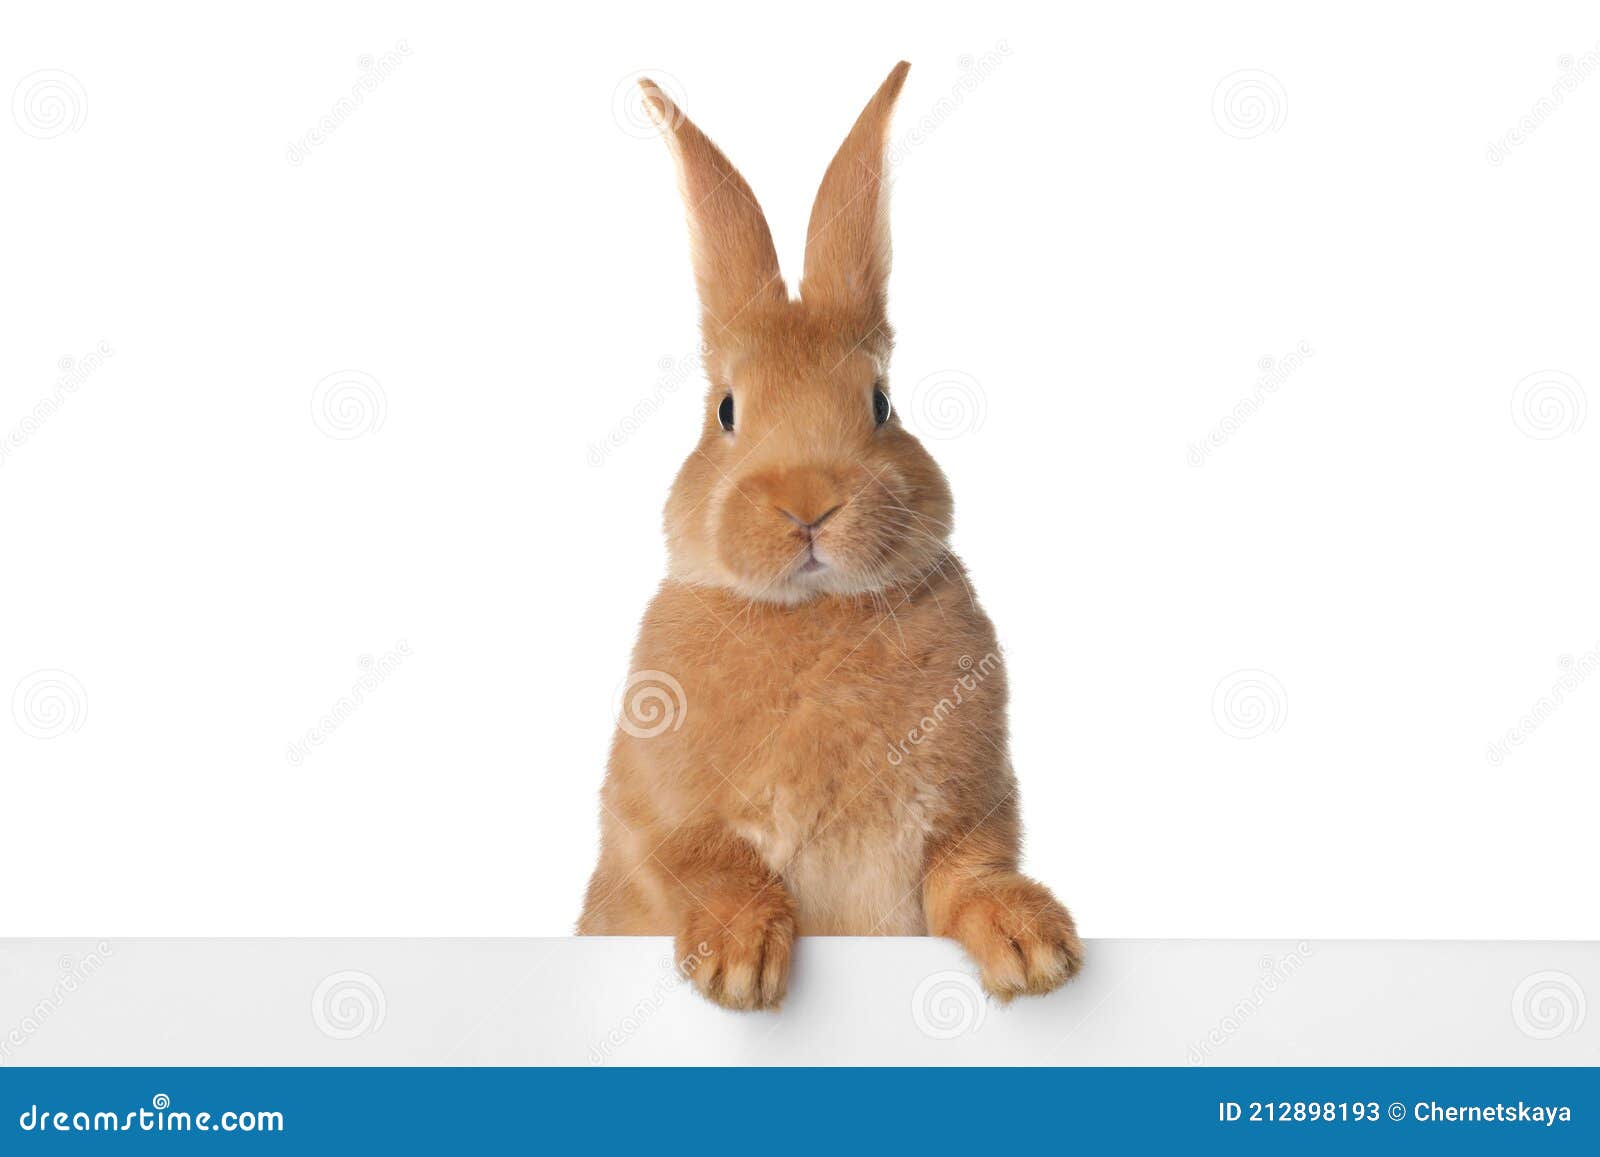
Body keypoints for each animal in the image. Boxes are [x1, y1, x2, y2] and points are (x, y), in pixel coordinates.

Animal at [578, 61, 1083, 1010]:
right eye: (726, 411)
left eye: (881, 402)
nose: (808, 502)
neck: (815, 612)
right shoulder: (658, 822)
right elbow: (710, 867)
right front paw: (739, 965)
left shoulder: (969, 814)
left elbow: (970, 876)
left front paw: (1034, 948)